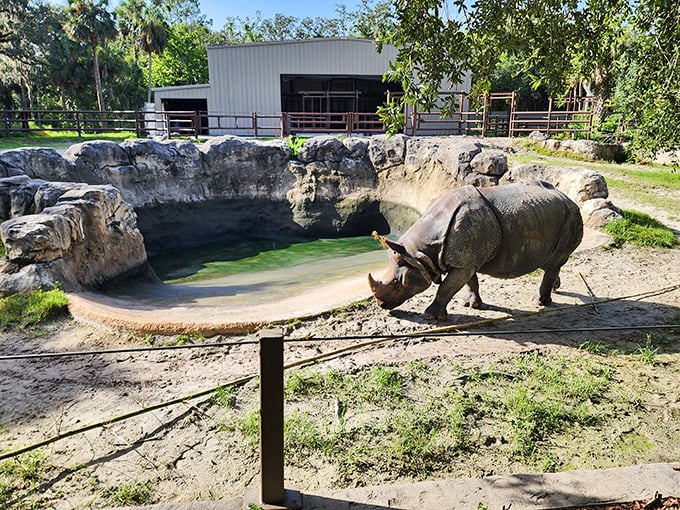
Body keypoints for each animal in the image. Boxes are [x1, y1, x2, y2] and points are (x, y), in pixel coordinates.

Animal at [368, 181, 583, 321]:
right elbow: (470, 282)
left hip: (571, 216)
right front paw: (472, 304)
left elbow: (447, 287)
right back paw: (555, 287)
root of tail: (569, 198)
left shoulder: (465, 261)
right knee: (552, 262)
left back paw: (539, 302)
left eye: (399, 283)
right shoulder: (466, 259)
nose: (381, 304)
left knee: (555, 261)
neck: (420, 255)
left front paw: (431, 317)